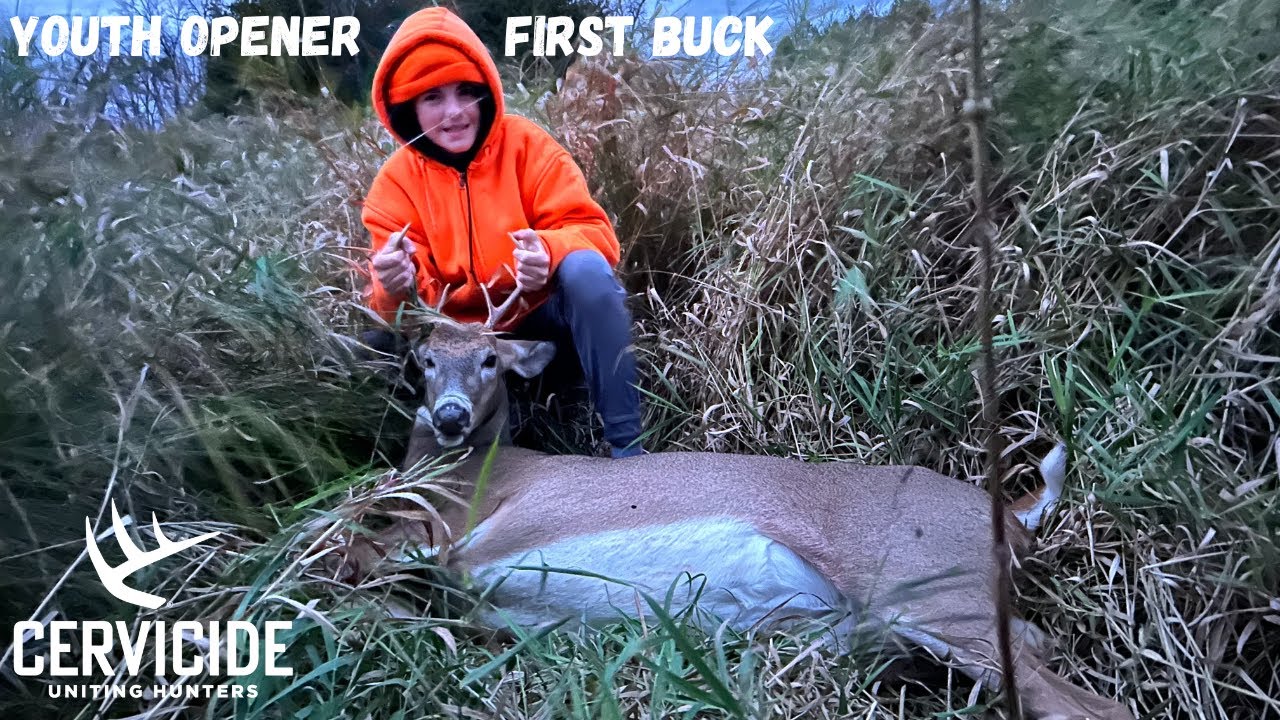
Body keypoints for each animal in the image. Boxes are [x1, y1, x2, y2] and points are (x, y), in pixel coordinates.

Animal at [357, 284, 1136, 720]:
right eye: (425, 361)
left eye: (491, 359)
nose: (450, 416)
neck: (472, 473)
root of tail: (1012, 515)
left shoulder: (460, 534)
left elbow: (365, 557)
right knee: (1044, 650)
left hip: (934, 589)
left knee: (1101, 707)